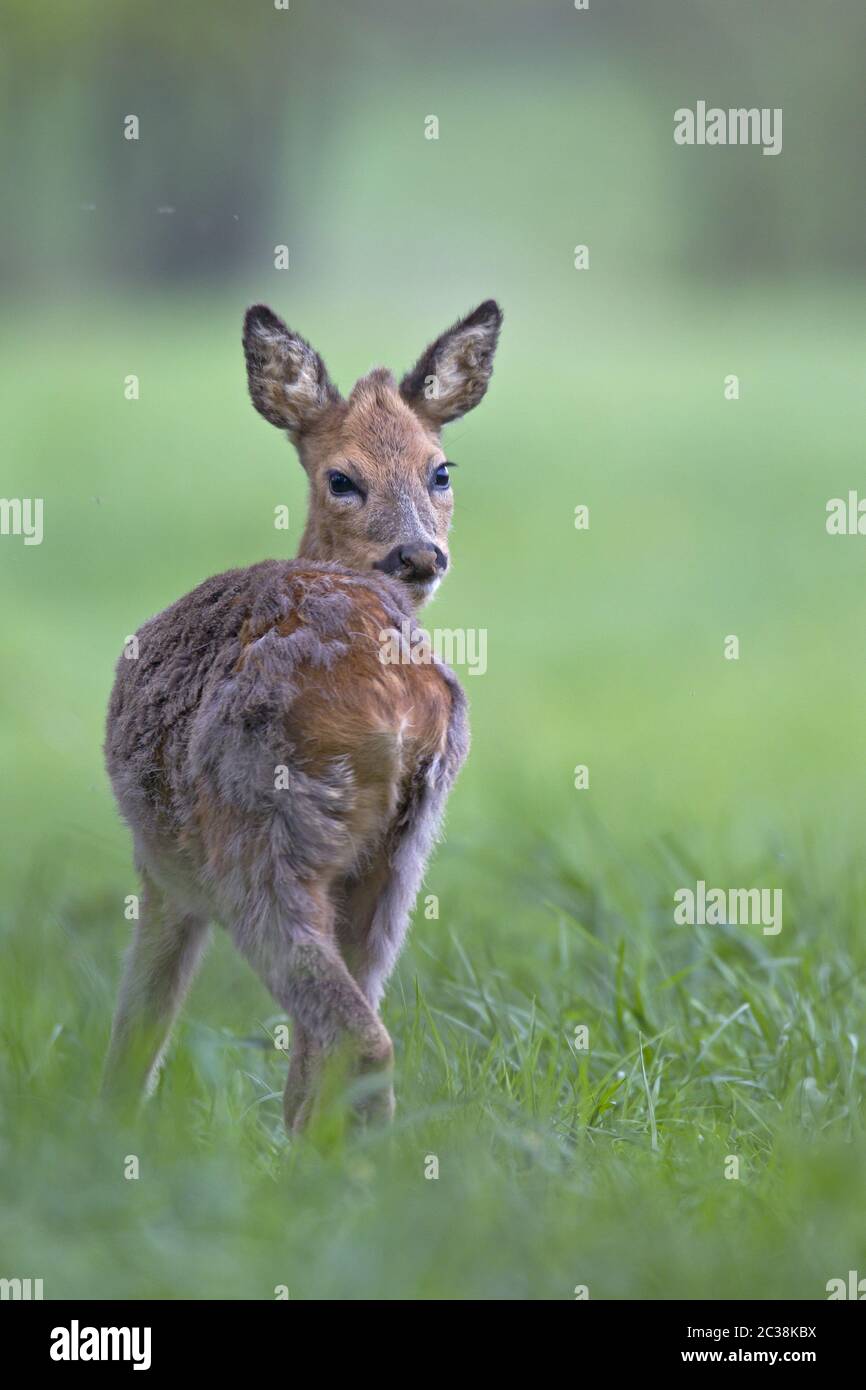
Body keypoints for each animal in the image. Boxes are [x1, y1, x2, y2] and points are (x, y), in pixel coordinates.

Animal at [102, 299, 503, 1130]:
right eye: (341, 478)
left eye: (439, 470)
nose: (421, 555)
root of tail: (391, 698)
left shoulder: (160, 865)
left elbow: (143, 1016)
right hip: (401, 854)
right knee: (347, 1025)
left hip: (258, 833)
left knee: (353, 1033)